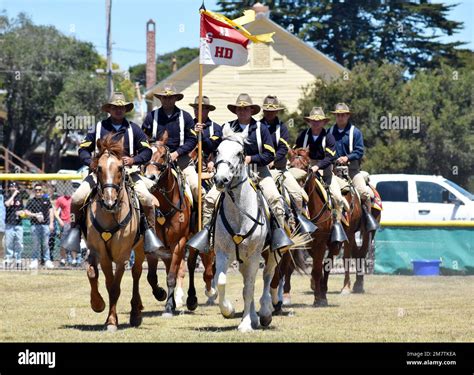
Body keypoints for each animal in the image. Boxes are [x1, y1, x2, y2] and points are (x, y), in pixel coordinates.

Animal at [85, 134, 144, 332]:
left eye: (120, 167)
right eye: (99, 168)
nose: (109, 201)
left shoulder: (121, 256)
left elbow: (115, 288)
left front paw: (111, 321)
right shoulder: (101, 253)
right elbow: (98, 277)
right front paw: (99, 306)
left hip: (140, 249)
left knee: (137, 273)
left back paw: (136, 313)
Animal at [143, 131, 216, 316]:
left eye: (163, 155)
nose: (150, 177)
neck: (165, 205)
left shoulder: (179, 242)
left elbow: (171, 276)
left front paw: (169, 307)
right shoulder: (155, 245)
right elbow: (153, 276)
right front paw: (162, 295)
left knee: (194, 267)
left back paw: (194, 298)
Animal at [212, 125, 278, 332]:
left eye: (240, 153)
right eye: (217, 151)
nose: (221, 179)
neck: (239, 213)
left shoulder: (255, 255)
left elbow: (250, 288)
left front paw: (246, 324)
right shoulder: (223, 253)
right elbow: (221, 281)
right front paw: (228, 310)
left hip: (270, 255)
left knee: (266, 277)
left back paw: (264, 313)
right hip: (242, 260)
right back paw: (254, 317)